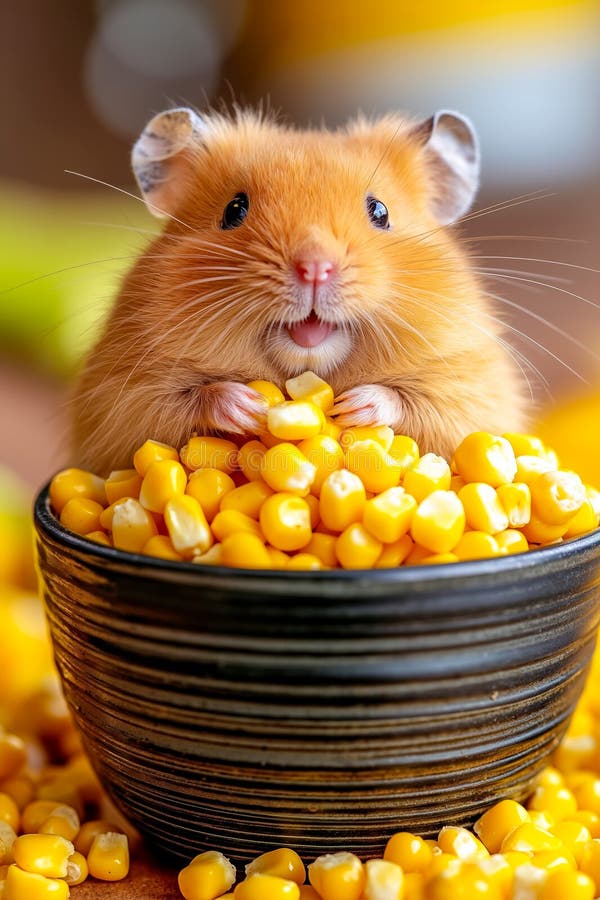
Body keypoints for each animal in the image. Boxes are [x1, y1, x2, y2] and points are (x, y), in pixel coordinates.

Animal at [72, 106, 526, 473]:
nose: (314, 269)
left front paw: (353, 408)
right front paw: (249, 408)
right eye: (234, 210)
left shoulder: (469, 385)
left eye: (380, 212)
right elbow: (169, 404)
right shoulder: (120, 395)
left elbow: (421, 403)